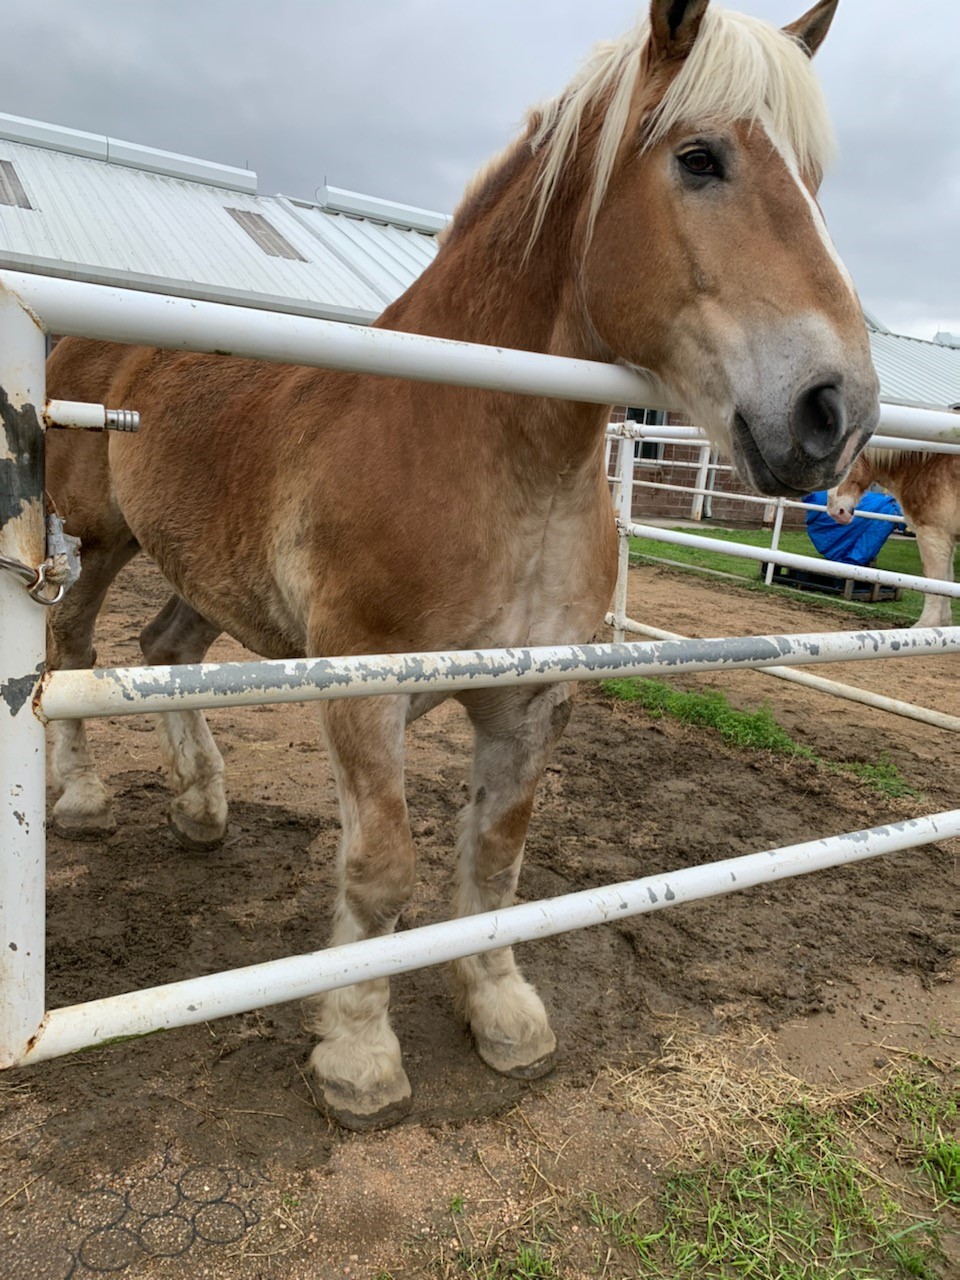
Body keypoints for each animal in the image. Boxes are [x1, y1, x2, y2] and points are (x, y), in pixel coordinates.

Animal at [44, 0, 879, 1129]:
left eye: (816, 180)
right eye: (700, 158)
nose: (835, 413)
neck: (480, 449)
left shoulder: (531, 703)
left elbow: (494, 862)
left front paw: (502, 1011)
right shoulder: (365, 693)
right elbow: (383, 870)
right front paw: (358, 1055)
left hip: (198, 570)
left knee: (161, 648)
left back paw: (202, 809)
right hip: (98, 539)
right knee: (72, 643)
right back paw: (82, 798)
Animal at [827, 448, 959, 626]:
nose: (835, 510)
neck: (926, 465)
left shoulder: (933, 535)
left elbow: (934, 580)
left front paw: (926, 625)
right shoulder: (947, 539)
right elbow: (947, 581)